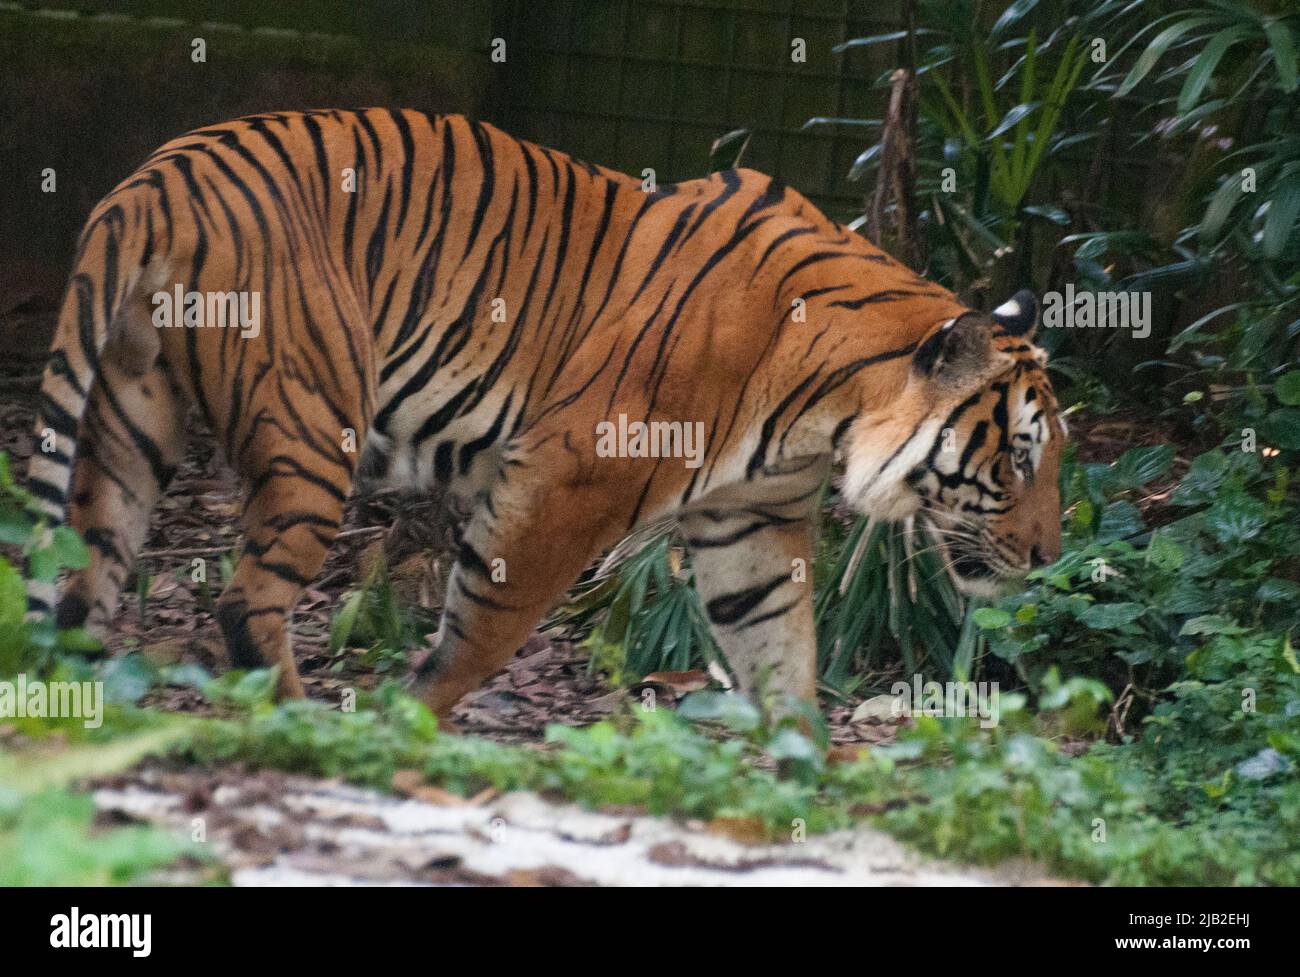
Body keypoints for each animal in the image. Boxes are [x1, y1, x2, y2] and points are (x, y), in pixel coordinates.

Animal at [26, 110, 1063, 720]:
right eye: (1017, 458)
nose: (1050, 554)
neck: (832, 409)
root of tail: (154, 178)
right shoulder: (572, 476)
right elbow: (486, 628)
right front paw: (414, 720)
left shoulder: (751, 520)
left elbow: (780, 646)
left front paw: (799, 770)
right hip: (312, 421)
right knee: (248, 600)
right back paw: (303, 726)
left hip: (132, 422)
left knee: (83, 581)